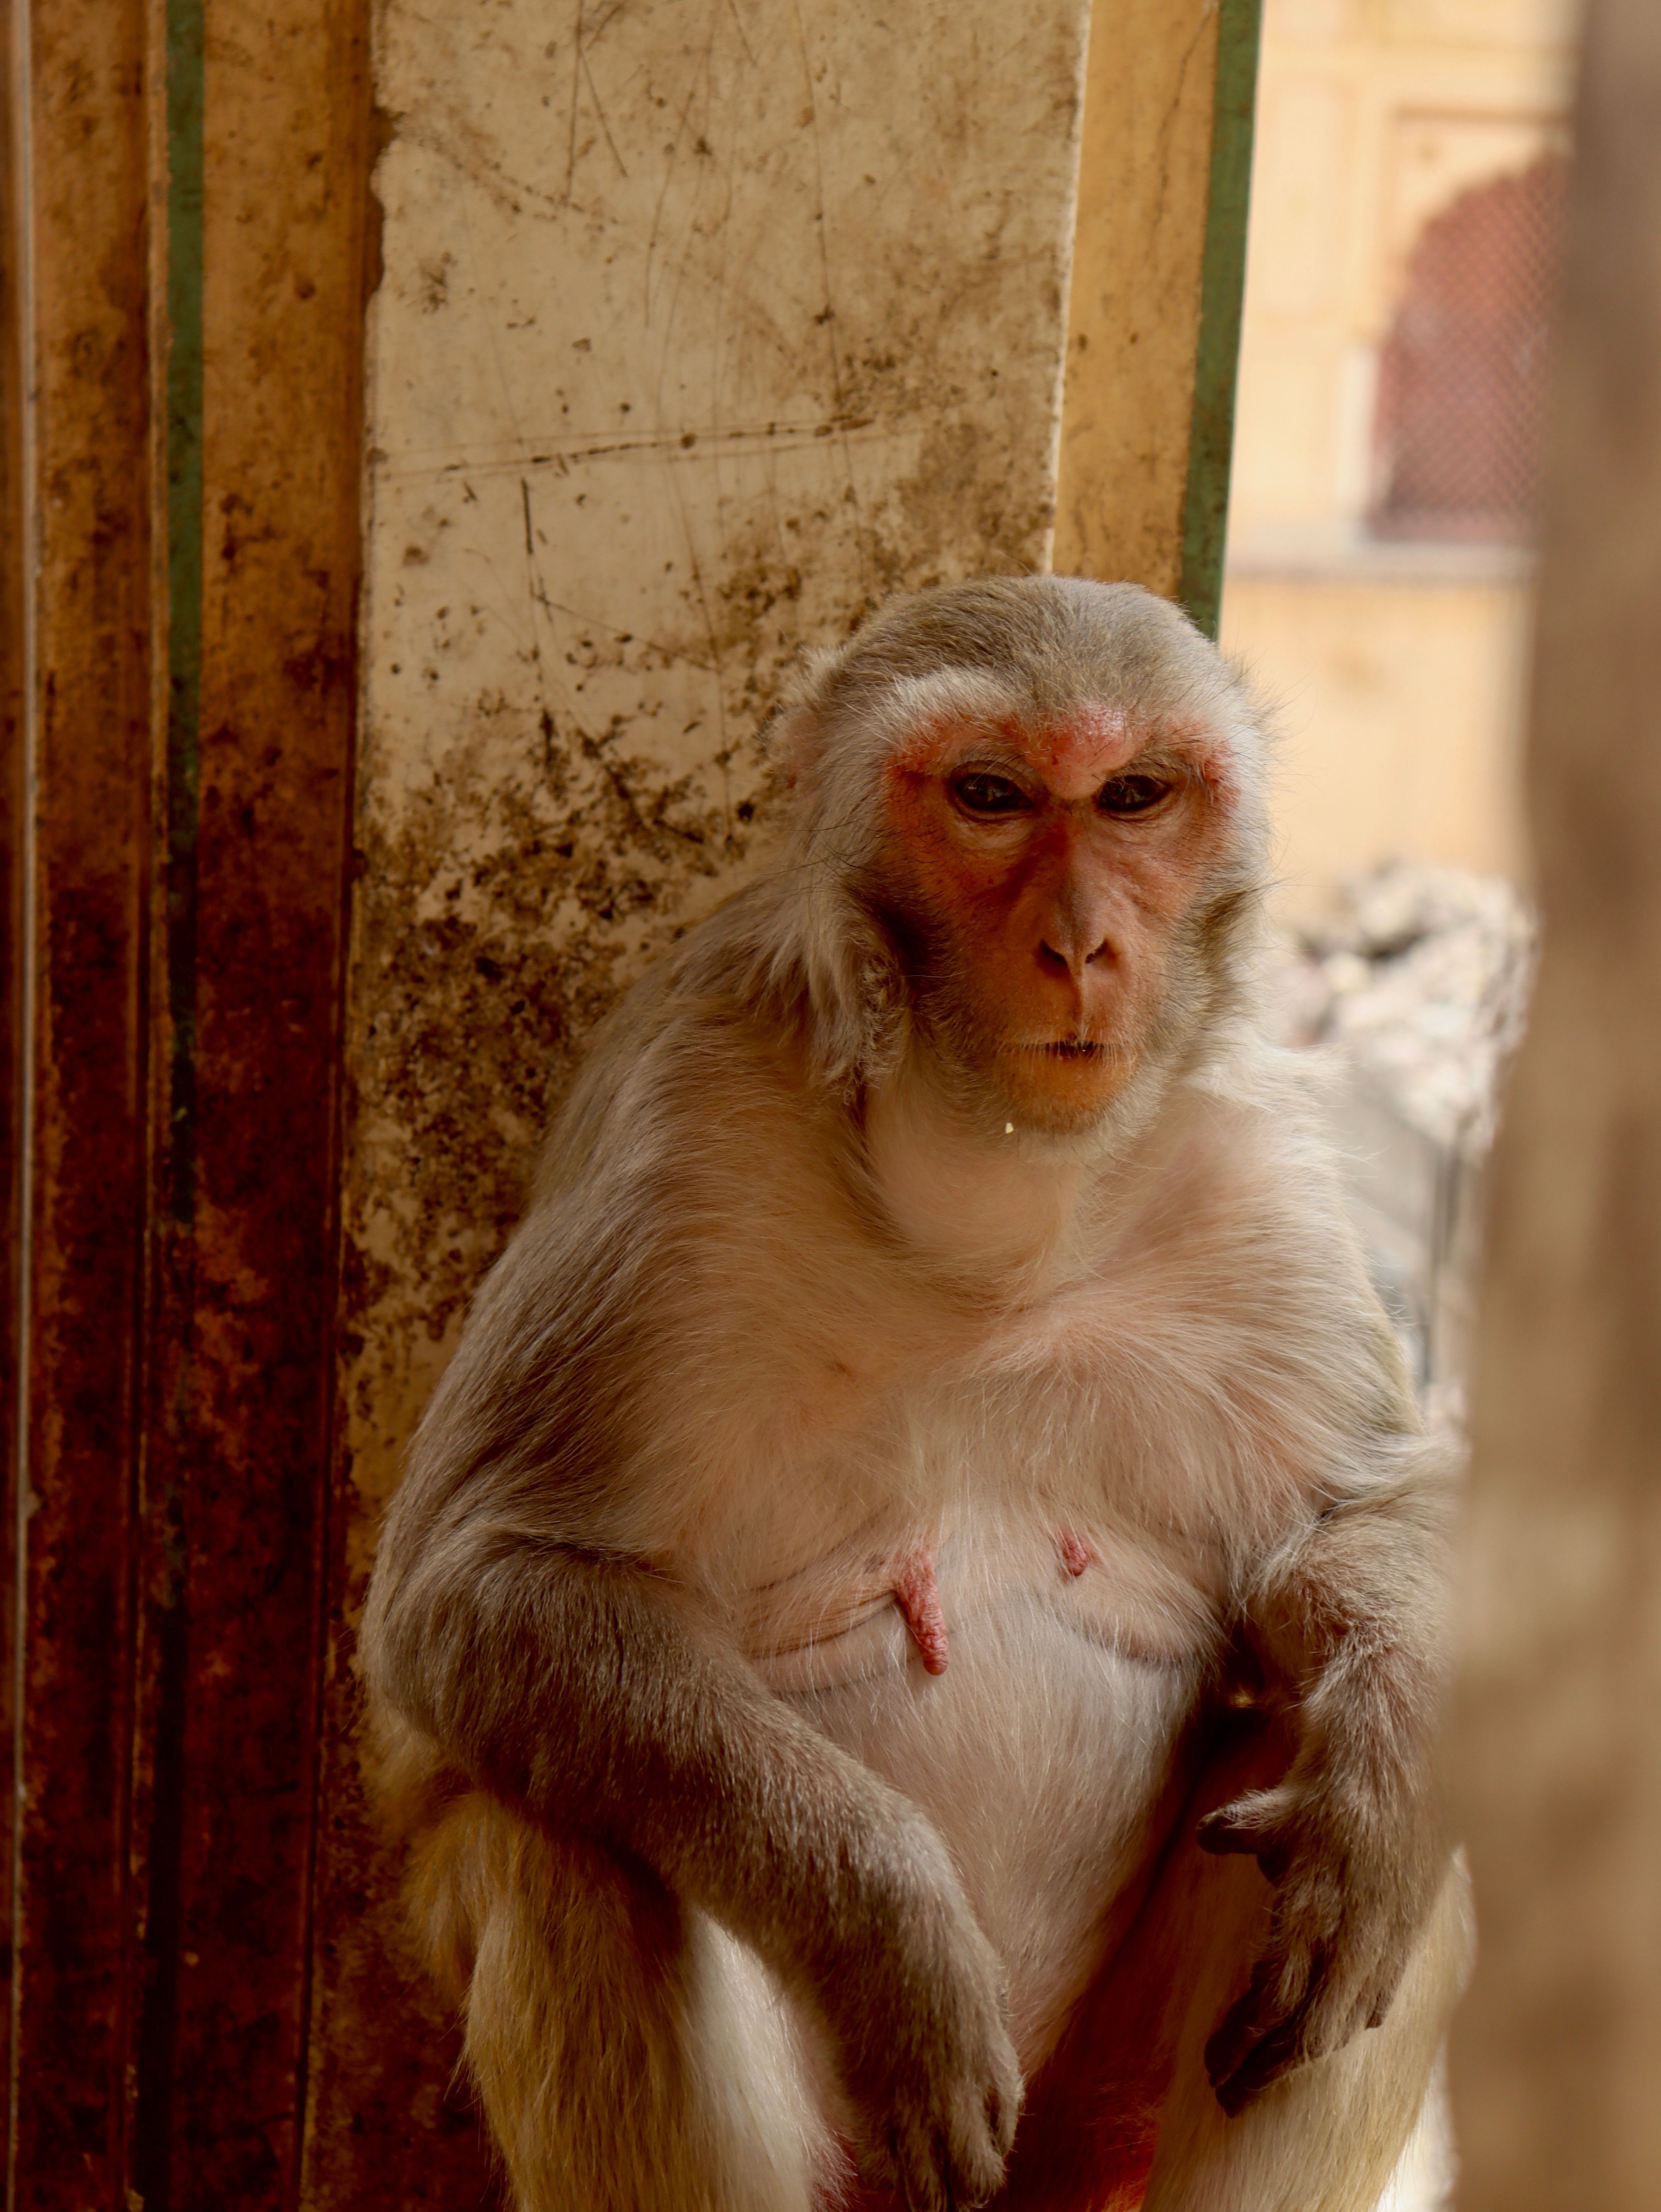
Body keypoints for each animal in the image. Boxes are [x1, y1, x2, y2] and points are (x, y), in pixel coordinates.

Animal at [362, 576, 1472, 2212]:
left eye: (1136, 795)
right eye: (990, 797)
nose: (1082, 945)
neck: (987, 1210)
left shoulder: (1258, 1172)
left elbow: (1369, 1518)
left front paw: (1381, 1789)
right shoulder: (678, 1138)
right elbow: (482, 1586)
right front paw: (887, 1926)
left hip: (1081, 2137)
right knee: (581, 1855)